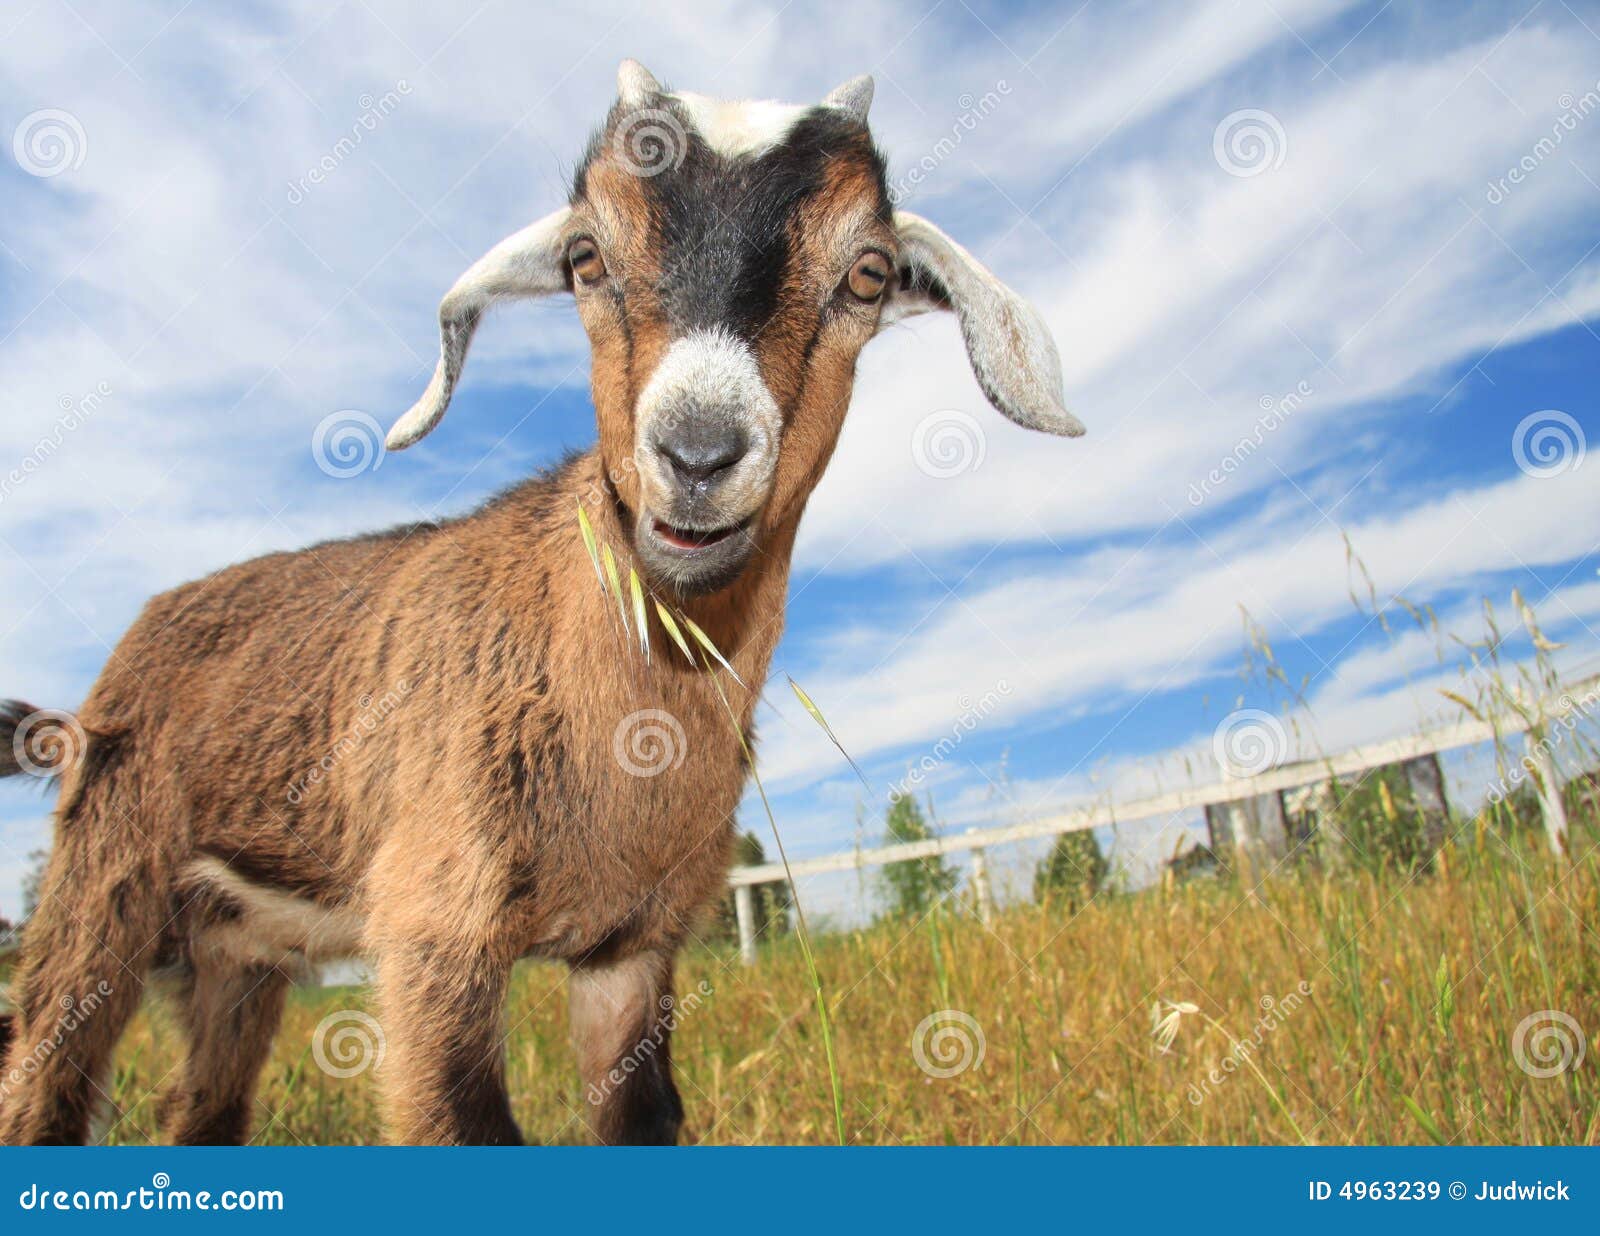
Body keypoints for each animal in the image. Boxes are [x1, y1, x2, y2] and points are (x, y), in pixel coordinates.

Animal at [0, 60, 1081, 1146]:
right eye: (584, 258)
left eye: (866, 273)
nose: (697, 456)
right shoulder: (434, 922)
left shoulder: (632, 948)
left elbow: (644, 1115)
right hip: (101, 891)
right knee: (42, 1075)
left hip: (238, 951)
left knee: (203, 1108)